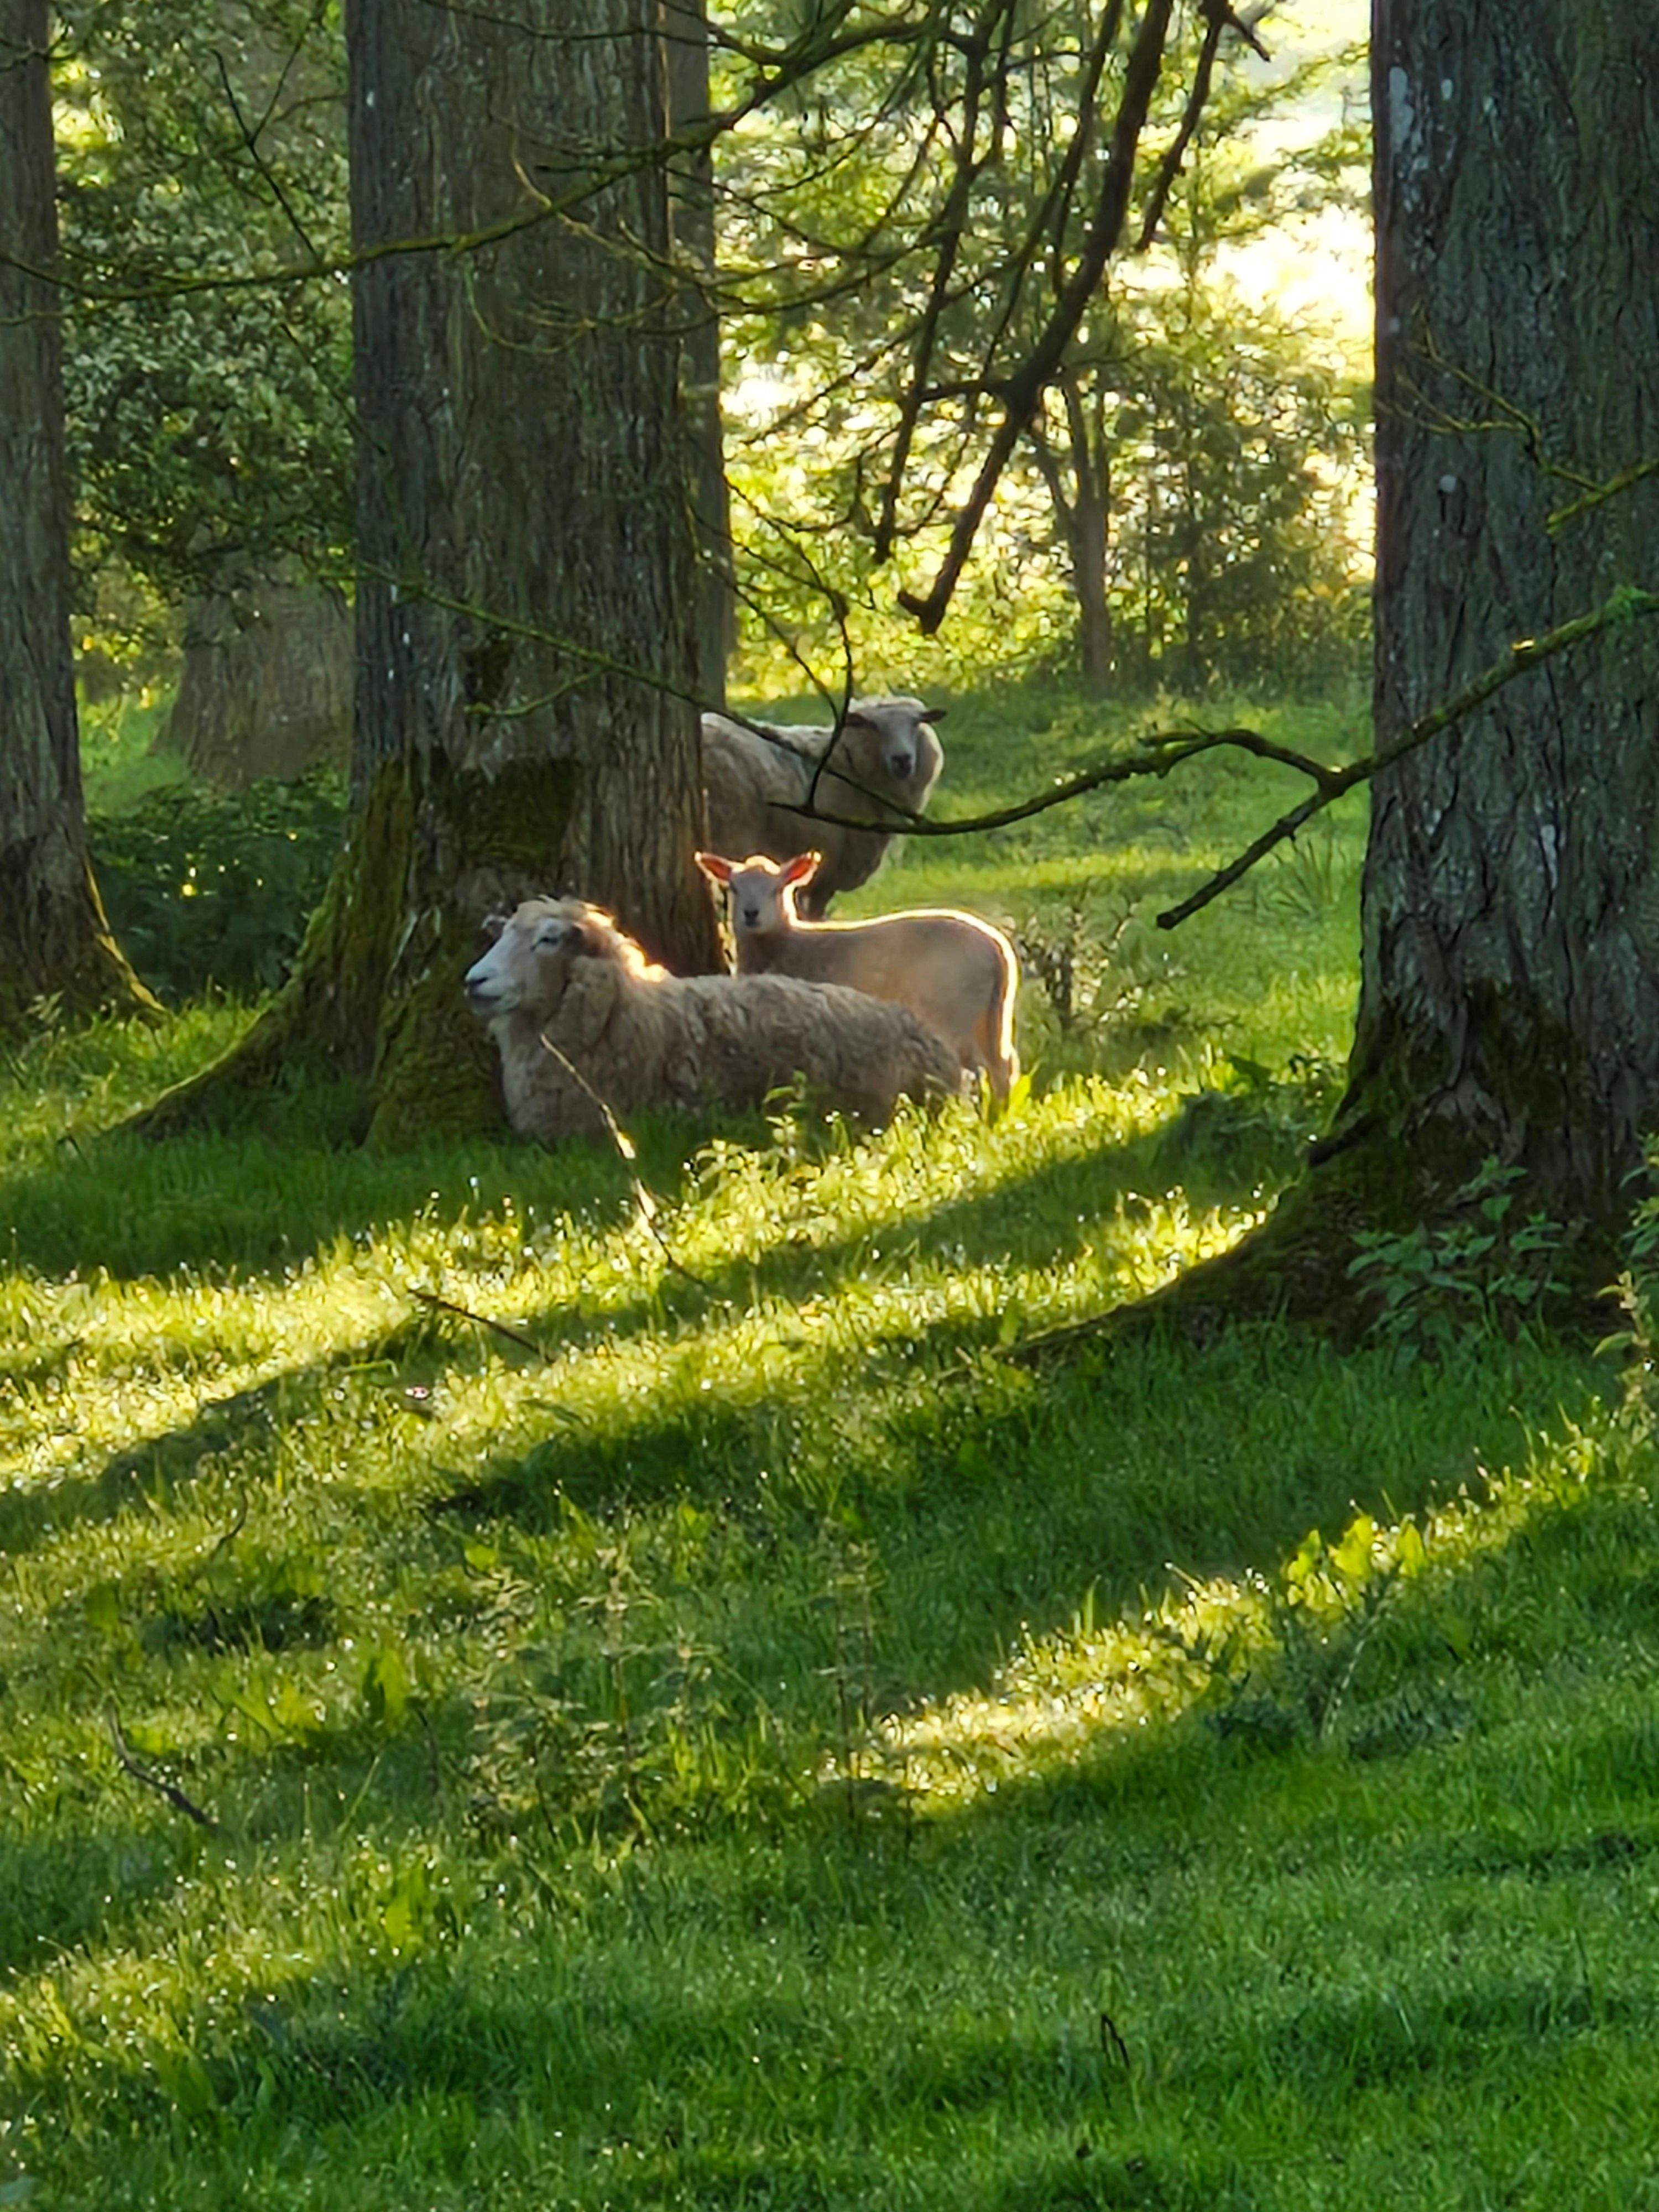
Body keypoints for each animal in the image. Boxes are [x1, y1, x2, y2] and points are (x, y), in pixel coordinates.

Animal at [697, 849, 1021, 1100]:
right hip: (991, 1014)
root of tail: (996, 950)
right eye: (734, 888)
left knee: (968, 1069)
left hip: (954, 1009)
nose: (751, 914)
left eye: (778, 889)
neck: (786, 942)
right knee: (1002, 1065)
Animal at [701, 694, 945, 918]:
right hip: (732, 832)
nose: (902, 760)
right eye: (873, 726)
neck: (849, 766)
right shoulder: (826, 871)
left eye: (917, 724)